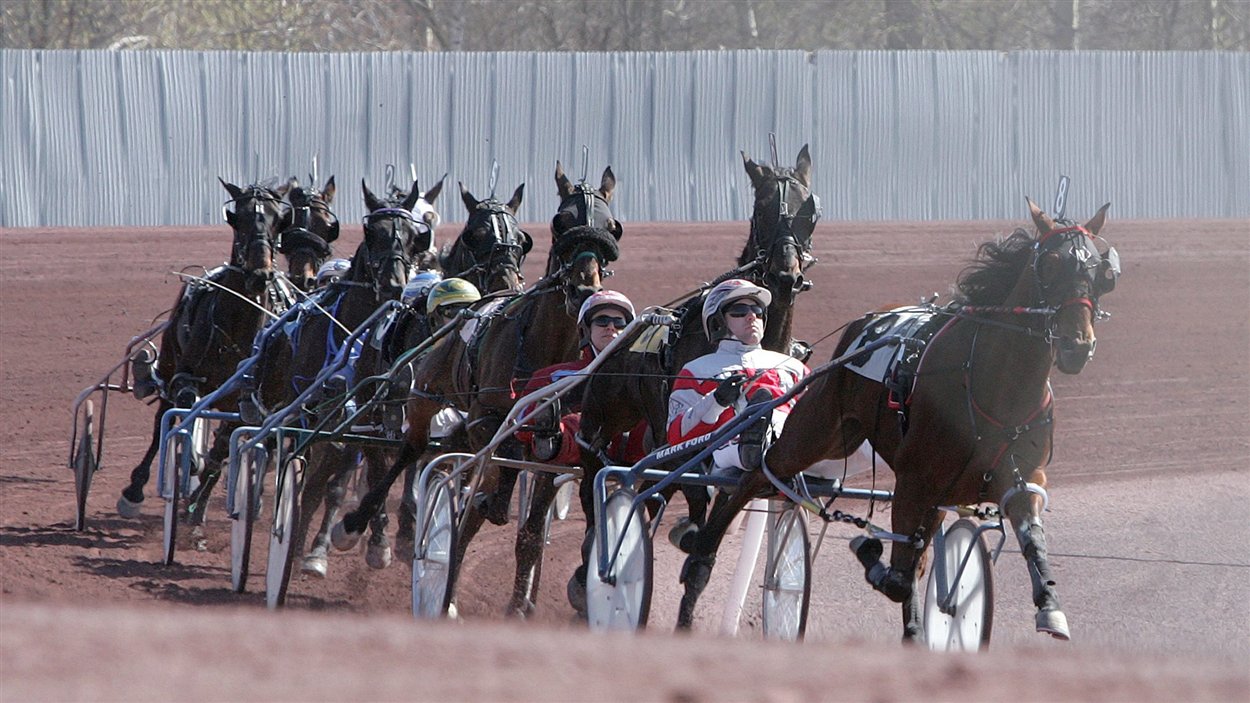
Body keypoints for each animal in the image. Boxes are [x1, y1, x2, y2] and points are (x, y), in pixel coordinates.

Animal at [117, 179, 297, 520]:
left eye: (279, 220)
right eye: (238, 219)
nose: (260, 274)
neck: (238, 324)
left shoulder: (249, 401)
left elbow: (224, 445)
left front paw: (197, 505)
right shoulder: (186, 378)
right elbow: (182, 413)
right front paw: (186, 466)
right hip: (171, 363)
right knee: (162, 419)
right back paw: (137, 488)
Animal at [331, 166, 624, 617]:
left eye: (612, 228)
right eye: (560, 222)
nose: (584, 288)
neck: (546, 346)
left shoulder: (558, 448)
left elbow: (530, 527)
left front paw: (522, 601)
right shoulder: (487, 418)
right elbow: (497, 467)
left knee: (450, 450)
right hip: (420, 397)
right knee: (411, 450)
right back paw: (361, 526)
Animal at [564, 145, 819, 612]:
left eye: (809, 210)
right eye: (762, 207)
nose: (785, 275)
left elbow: (717, 512)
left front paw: (695, 547)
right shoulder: (679, 434)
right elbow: (690, 488)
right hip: (602, 414)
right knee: (595, 467)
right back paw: (592, 557)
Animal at [671, 198, 1119, 638]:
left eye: (1102, 271)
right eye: (1051, 264)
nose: (1077, 345)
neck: (994, 387)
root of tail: (867, 321)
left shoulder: (1018, 479)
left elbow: (1027, 537)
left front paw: (1049, 606)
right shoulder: (915, 482)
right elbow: (900, 577)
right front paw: (869, 549)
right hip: (818, 432)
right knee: (756, 475)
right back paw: (700, 555)